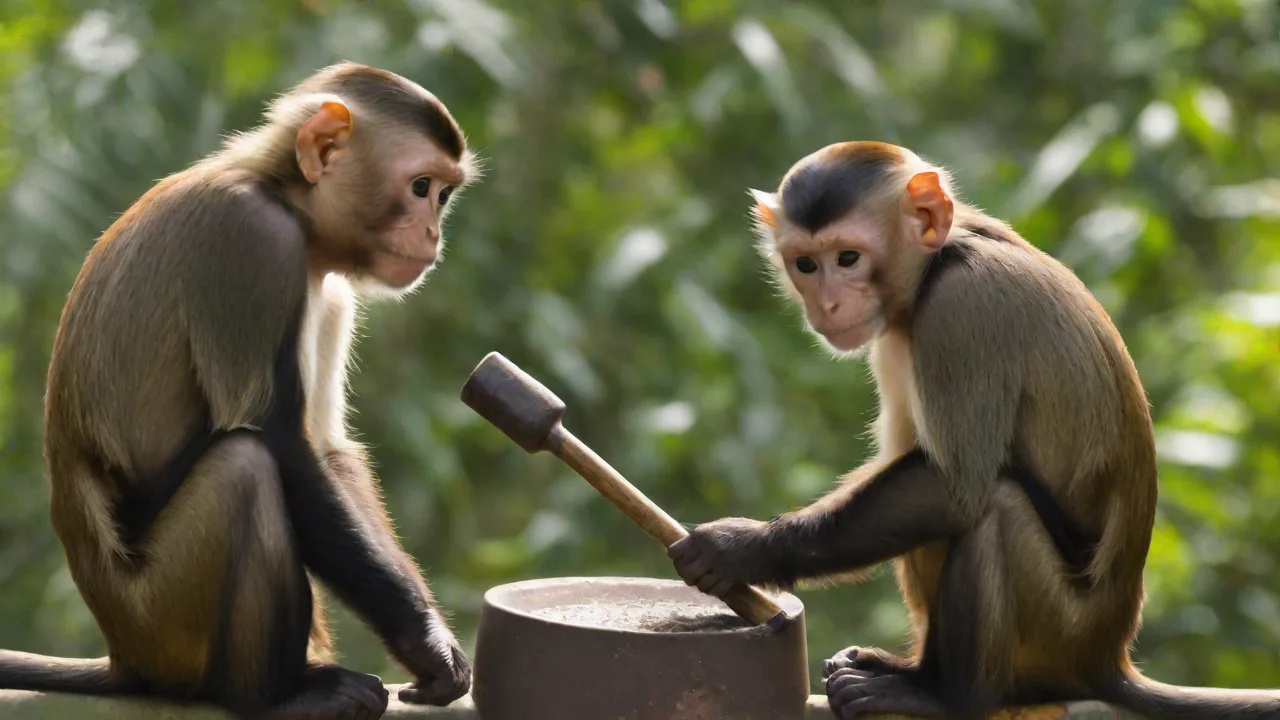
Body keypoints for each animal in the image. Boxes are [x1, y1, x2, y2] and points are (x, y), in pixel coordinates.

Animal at [0, 62, 480, 720]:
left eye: (443, 195)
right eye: (420, 186)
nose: (433, 232)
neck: (283, 195)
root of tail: (126, 655)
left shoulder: (330, 290)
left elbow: (326, 449)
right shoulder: (254, 237)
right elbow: (278, 441)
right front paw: (421, 641)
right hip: (164, 620)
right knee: (244, 468)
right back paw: (270, 695)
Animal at [667, 141, 1280, 720]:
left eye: (848, 257)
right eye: (806, 265)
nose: (829, 303)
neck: (939, 260)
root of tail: (1106, 657)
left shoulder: (962, 307)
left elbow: (953, 488)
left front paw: (743, 549)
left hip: (1058, 629)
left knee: (993, 509)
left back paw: (946, 695)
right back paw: (912, 671)